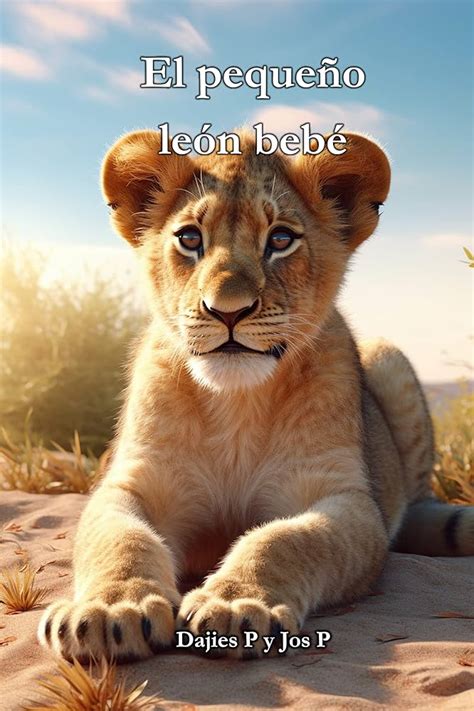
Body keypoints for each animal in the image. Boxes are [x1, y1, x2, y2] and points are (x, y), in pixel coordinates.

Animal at [38, 130, 474, 662]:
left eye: (281, 239)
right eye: (190, 238)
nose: (227, 310)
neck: (236, 405)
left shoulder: (340, 494)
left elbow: (286, 539)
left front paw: (235, 604)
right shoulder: (136, 483)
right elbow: (121, 539)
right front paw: (109, 610)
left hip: (387, 358)